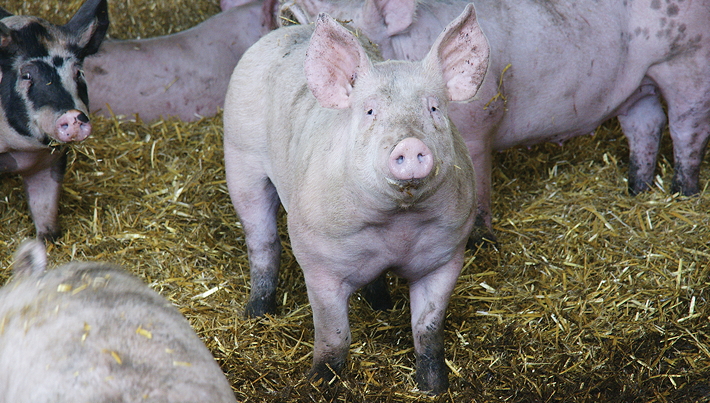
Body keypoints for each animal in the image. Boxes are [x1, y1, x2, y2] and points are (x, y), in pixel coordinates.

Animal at [0, 0, 109, 241]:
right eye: (27, 75)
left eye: (78, 73)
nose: (73, 115)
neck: (15, 151)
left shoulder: (52, 160)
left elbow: (45, 206)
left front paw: (49, 240)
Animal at [223, 5, 489, 393]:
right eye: (369, 111)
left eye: (435, 109)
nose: (410, 144)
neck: (397, 223)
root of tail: (289, 30)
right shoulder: (318, 261)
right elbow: (334, 335)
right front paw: (319, 384)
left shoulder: (446, 256)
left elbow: (428, 330)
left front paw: (433, 387)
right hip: (240, 159)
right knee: (262, 242)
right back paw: (257, 313)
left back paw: (381, 304)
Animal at [284, 0, 710, 244]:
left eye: (365, 39)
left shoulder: (478, 124)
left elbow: (481, 186)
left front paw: (481, 241)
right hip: (639, 86)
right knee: (646, 125)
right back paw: (637, 191)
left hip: (687, 64)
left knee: (686, 128)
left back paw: (684, 193)